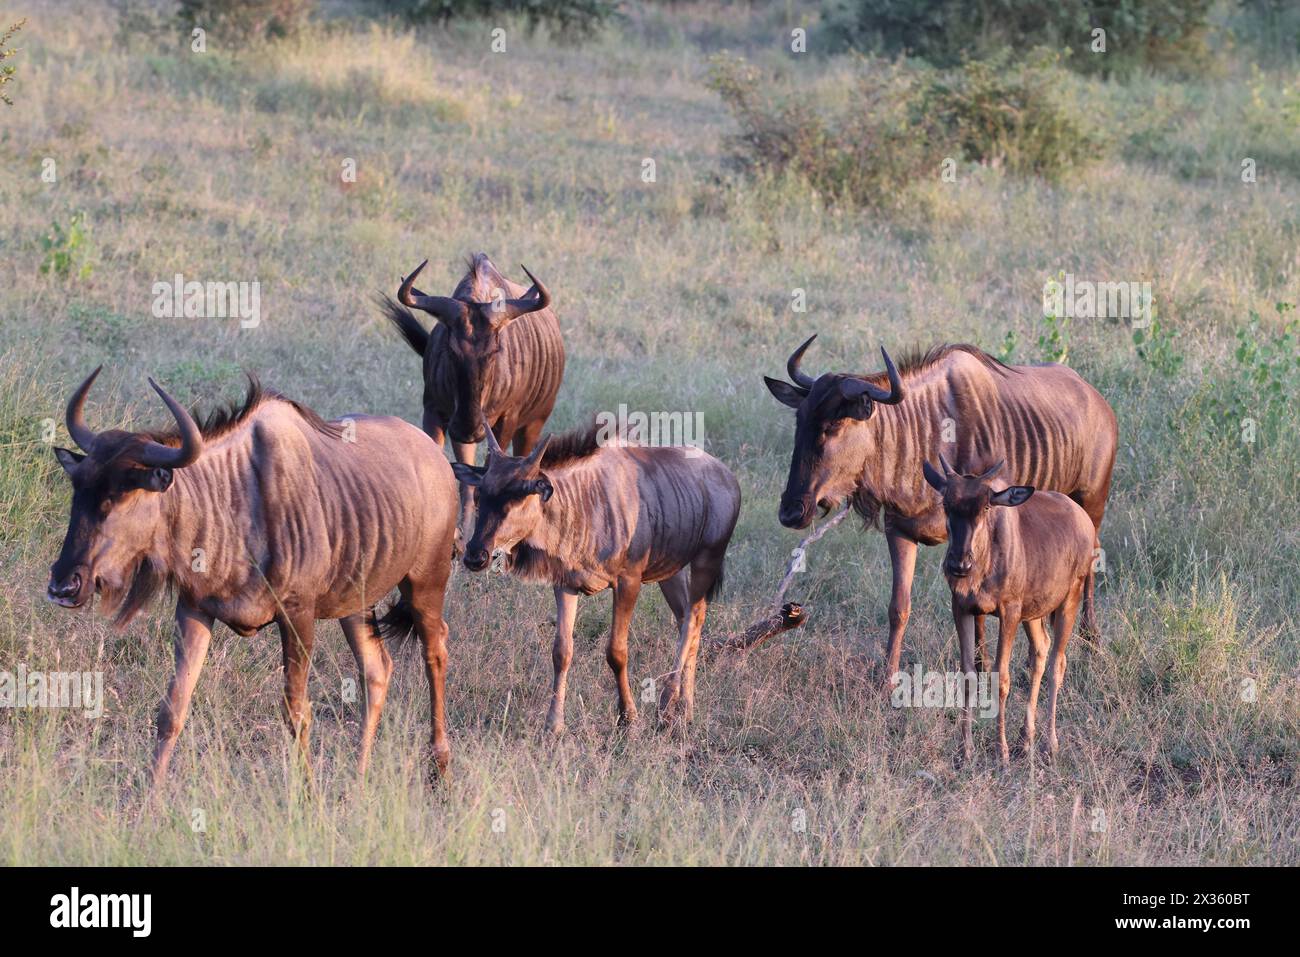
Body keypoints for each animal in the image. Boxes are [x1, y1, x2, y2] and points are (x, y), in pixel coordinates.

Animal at [46, 369, 459, 783]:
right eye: (78, 491)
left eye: (119, 496)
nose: (63, 586)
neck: (233, 505)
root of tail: (436, 457)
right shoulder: (194, 609)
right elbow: (173, 708)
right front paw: (150, 793)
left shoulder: (297, 616)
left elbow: (297, 712)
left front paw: (307, 791)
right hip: (357, 603)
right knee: (375, 670)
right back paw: (357, 778)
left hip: (426, 583)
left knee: (435, 651)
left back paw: (439, 766)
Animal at [380, 254, 564, 542]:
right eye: (450, 348)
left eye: (496, 349)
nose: (470, 427)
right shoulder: (433, 411)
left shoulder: (506, 421)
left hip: (532, 425)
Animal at [453, 420, 741, 731]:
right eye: (480, 495)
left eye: (518, 496)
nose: (475, 556)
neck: (579, 506)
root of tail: (727, 475)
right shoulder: (565, 584)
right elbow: (561, 652)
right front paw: (554, 724)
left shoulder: (628, 582)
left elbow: (616, 652)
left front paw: (628, 717)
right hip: (670, 572)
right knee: (687, 619)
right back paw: (685, 709)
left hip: (706, 560)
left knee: (692, 620)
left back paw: (666, 704)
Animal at [764, 339, 1116, 683]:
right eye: (800, 420)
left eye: (834, 425)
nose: (791, 512)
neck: (930, 436)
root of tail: (1098, 400)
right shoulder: (899, 531)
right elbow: (899, 607)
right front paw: (887, 679)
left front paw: (983, 666)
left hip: (1092, 504)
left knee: (1089, 569)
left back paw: (1091, 641)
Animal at [923, 455, 1094, 764]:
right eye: (946, 504)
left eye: (986, 506)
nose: (959, 565)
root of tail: (1082, 519)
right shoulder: (962, 608)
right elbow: (969, 675)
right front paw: (965, 750)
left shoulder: (1009, 613)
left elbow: (1001, 677)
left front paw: (1000, 751)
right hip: (1034, 613)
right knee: (1041, 651)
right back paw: (1026, 740)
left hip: (1069, 601)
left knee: (1057, 662)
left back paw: (1050, 744)